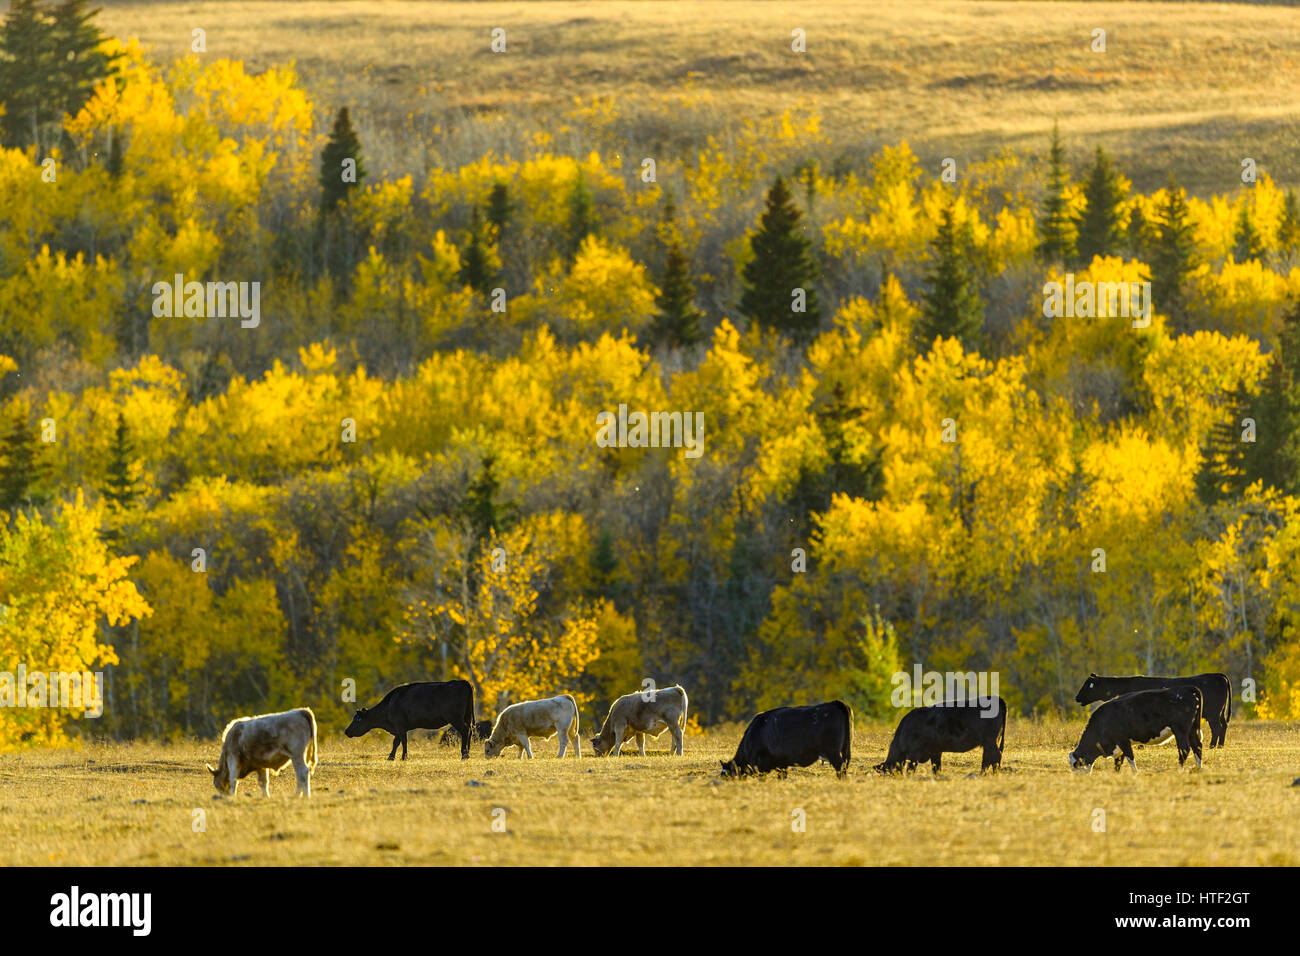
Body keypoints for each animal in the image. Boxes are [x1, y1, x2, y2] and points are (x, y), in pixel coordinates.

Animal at [344, 680, 475, 760]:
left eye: (357, 719)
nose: (346, 731)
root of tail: (462, 682)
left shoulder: (400, 726)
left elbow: (403, 741)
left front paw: (403, 757)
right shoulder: (398, 728)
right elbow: (396, 742)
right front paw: (391, 757)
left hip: (455, 717)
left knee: (465, 730)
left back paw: (464, 754)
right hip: (467, 716)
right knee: (470, 730)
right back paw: (468, 752)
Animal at [720, 700, 852, 778]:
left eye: (726, 775)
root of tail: (834, 703)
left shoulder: (760, 765)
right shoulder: (782, 764)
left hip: (832, 751)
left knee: (840, 766)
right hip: (845, 748)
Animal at [874, 697, 1006, 774]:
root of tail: (995, 698)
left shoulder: (913, 753)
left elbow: (911, 768)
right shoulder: (935, 751)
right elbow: (936, 768)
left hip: (990, 740)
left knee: (995, 757)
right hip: (991, 742)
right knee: (988, 758)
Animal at [1068, 687, 1203, 773]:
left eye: (1076, 765)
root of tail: (1186, 688)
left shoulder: (1123, 740)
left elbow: (1130, 758)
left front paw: (1135, 773)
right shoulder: (1119, 745)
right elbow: (1118, 762)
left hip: (1180, 730)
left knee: (1184, 749)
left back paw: (1179, 770)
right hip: (1192, 729)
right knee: (1197, 746)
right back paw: (1198, 769)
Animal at [1074, 672, 1231, 747]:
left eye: (1088, 685)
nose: (1077, 697)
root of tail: (1218, 675)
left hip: (1213, 714)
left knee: (1217, 727)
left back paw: (1212, 745)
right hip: (1220, 713)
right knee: (1223, 726)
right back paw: (1220, 745)